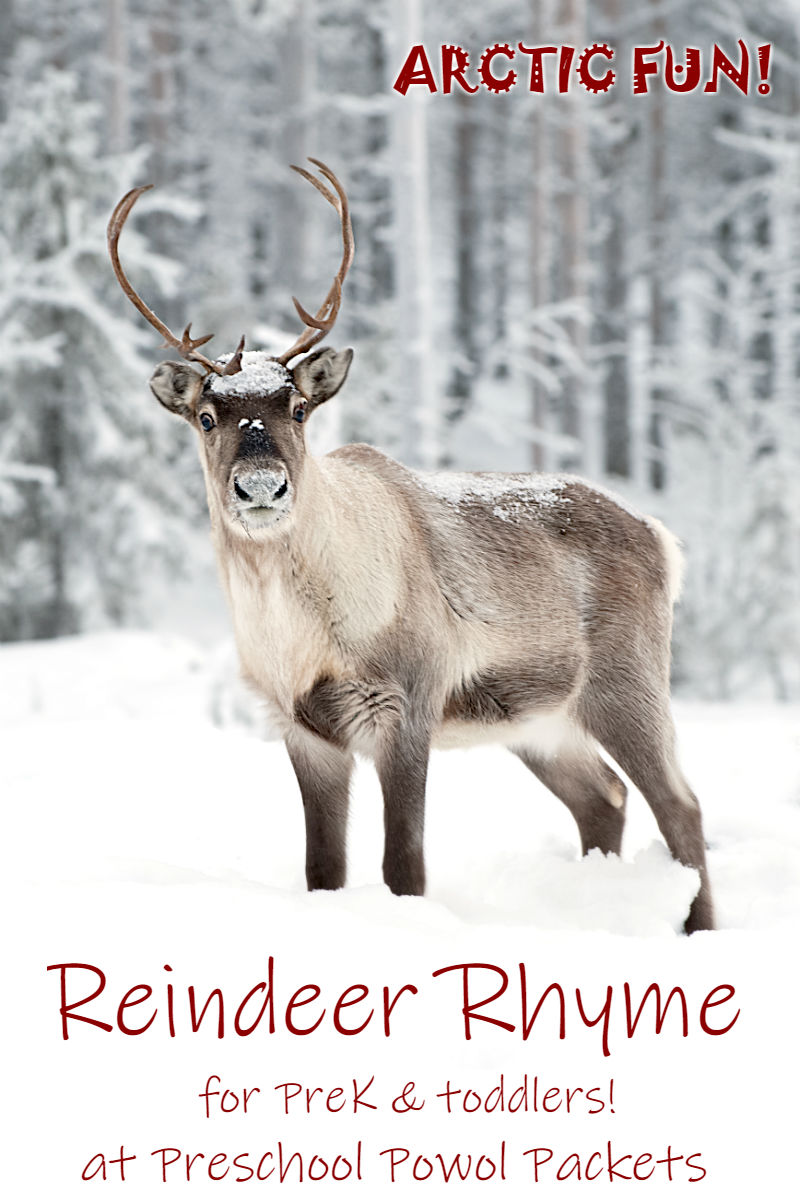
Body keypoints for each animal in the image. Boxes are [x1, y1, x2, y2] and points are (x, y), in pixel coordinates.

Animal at [108, 160, 714, 934]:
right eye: (208, 416)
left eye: (298, 409)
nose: (261, 487)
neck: (300, 634)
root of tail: (661, 538)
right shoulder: (303, 729)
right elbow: (323, 870)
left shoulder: (405, 705)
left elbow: (405, 867)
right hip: (540, 722)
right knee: (604, 797)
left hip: (626, 683)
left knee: (681, 805)